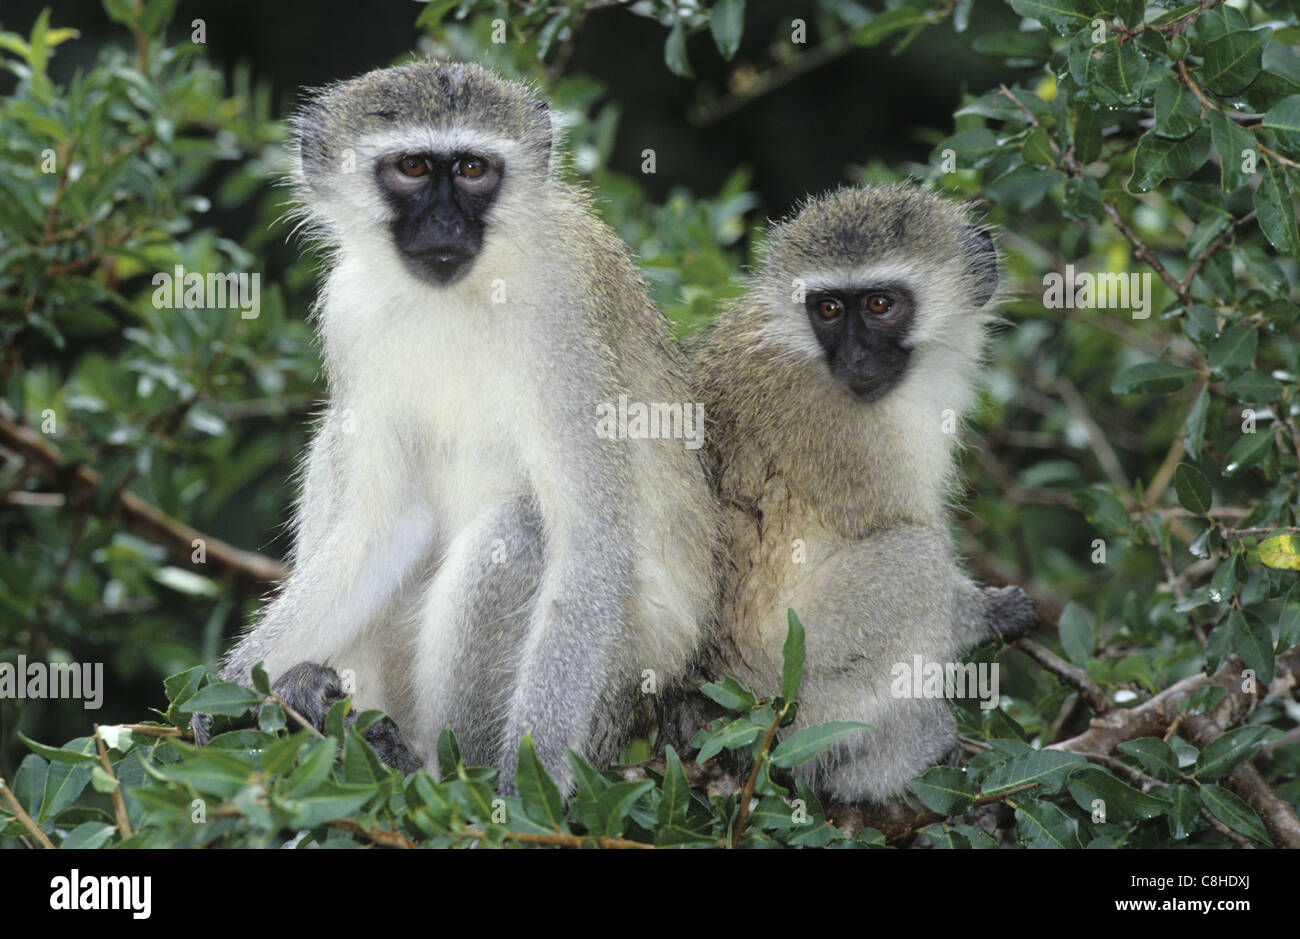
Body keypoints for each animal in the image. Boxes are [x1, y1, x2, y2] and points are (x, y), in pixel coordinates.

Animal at [195, 61, 720, 794]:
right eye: (413, 167)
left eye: (473, 169)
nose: (445, 221)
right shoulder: (349, 313)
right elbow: (387, 519)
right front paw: (234, 687)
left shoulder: (561, 313)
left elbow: (591, 538)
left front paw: (531, 781)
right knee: (336, 444)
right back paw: (323, 703)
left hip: (612, 696)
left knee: (520, 531)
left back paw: (441, 768)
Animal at [660, 186, 1035, 806]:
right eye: (830, 310)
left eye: (880, 305)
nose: (856, 360)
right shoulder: (851, 441)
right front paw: (987, 613)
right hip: (787, 681)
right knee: (914, 561)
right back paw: (888, 766)